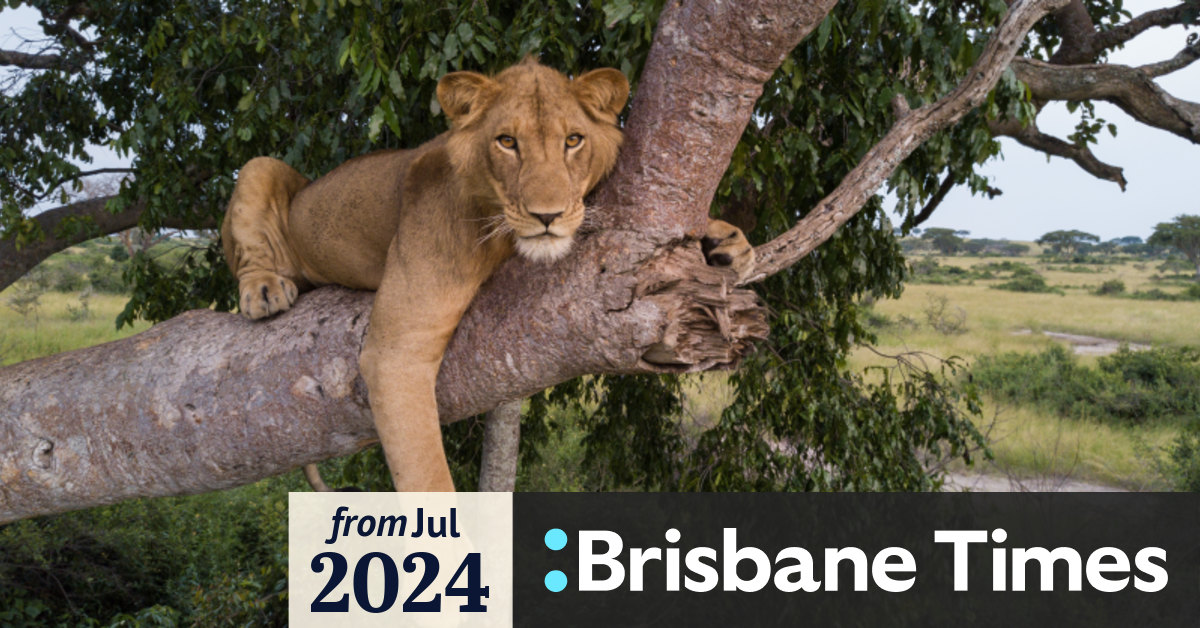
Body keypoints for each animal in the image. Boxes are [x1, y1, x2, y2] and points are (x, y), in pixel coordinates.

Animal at [220, 58, 754, 491]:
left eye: (573, 141)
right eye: (507, 142)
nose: (547, 215)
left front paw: (725, 241)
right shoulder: (395, 352)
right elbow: (426, 477)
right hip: (259, 168)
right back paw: (265, 290)